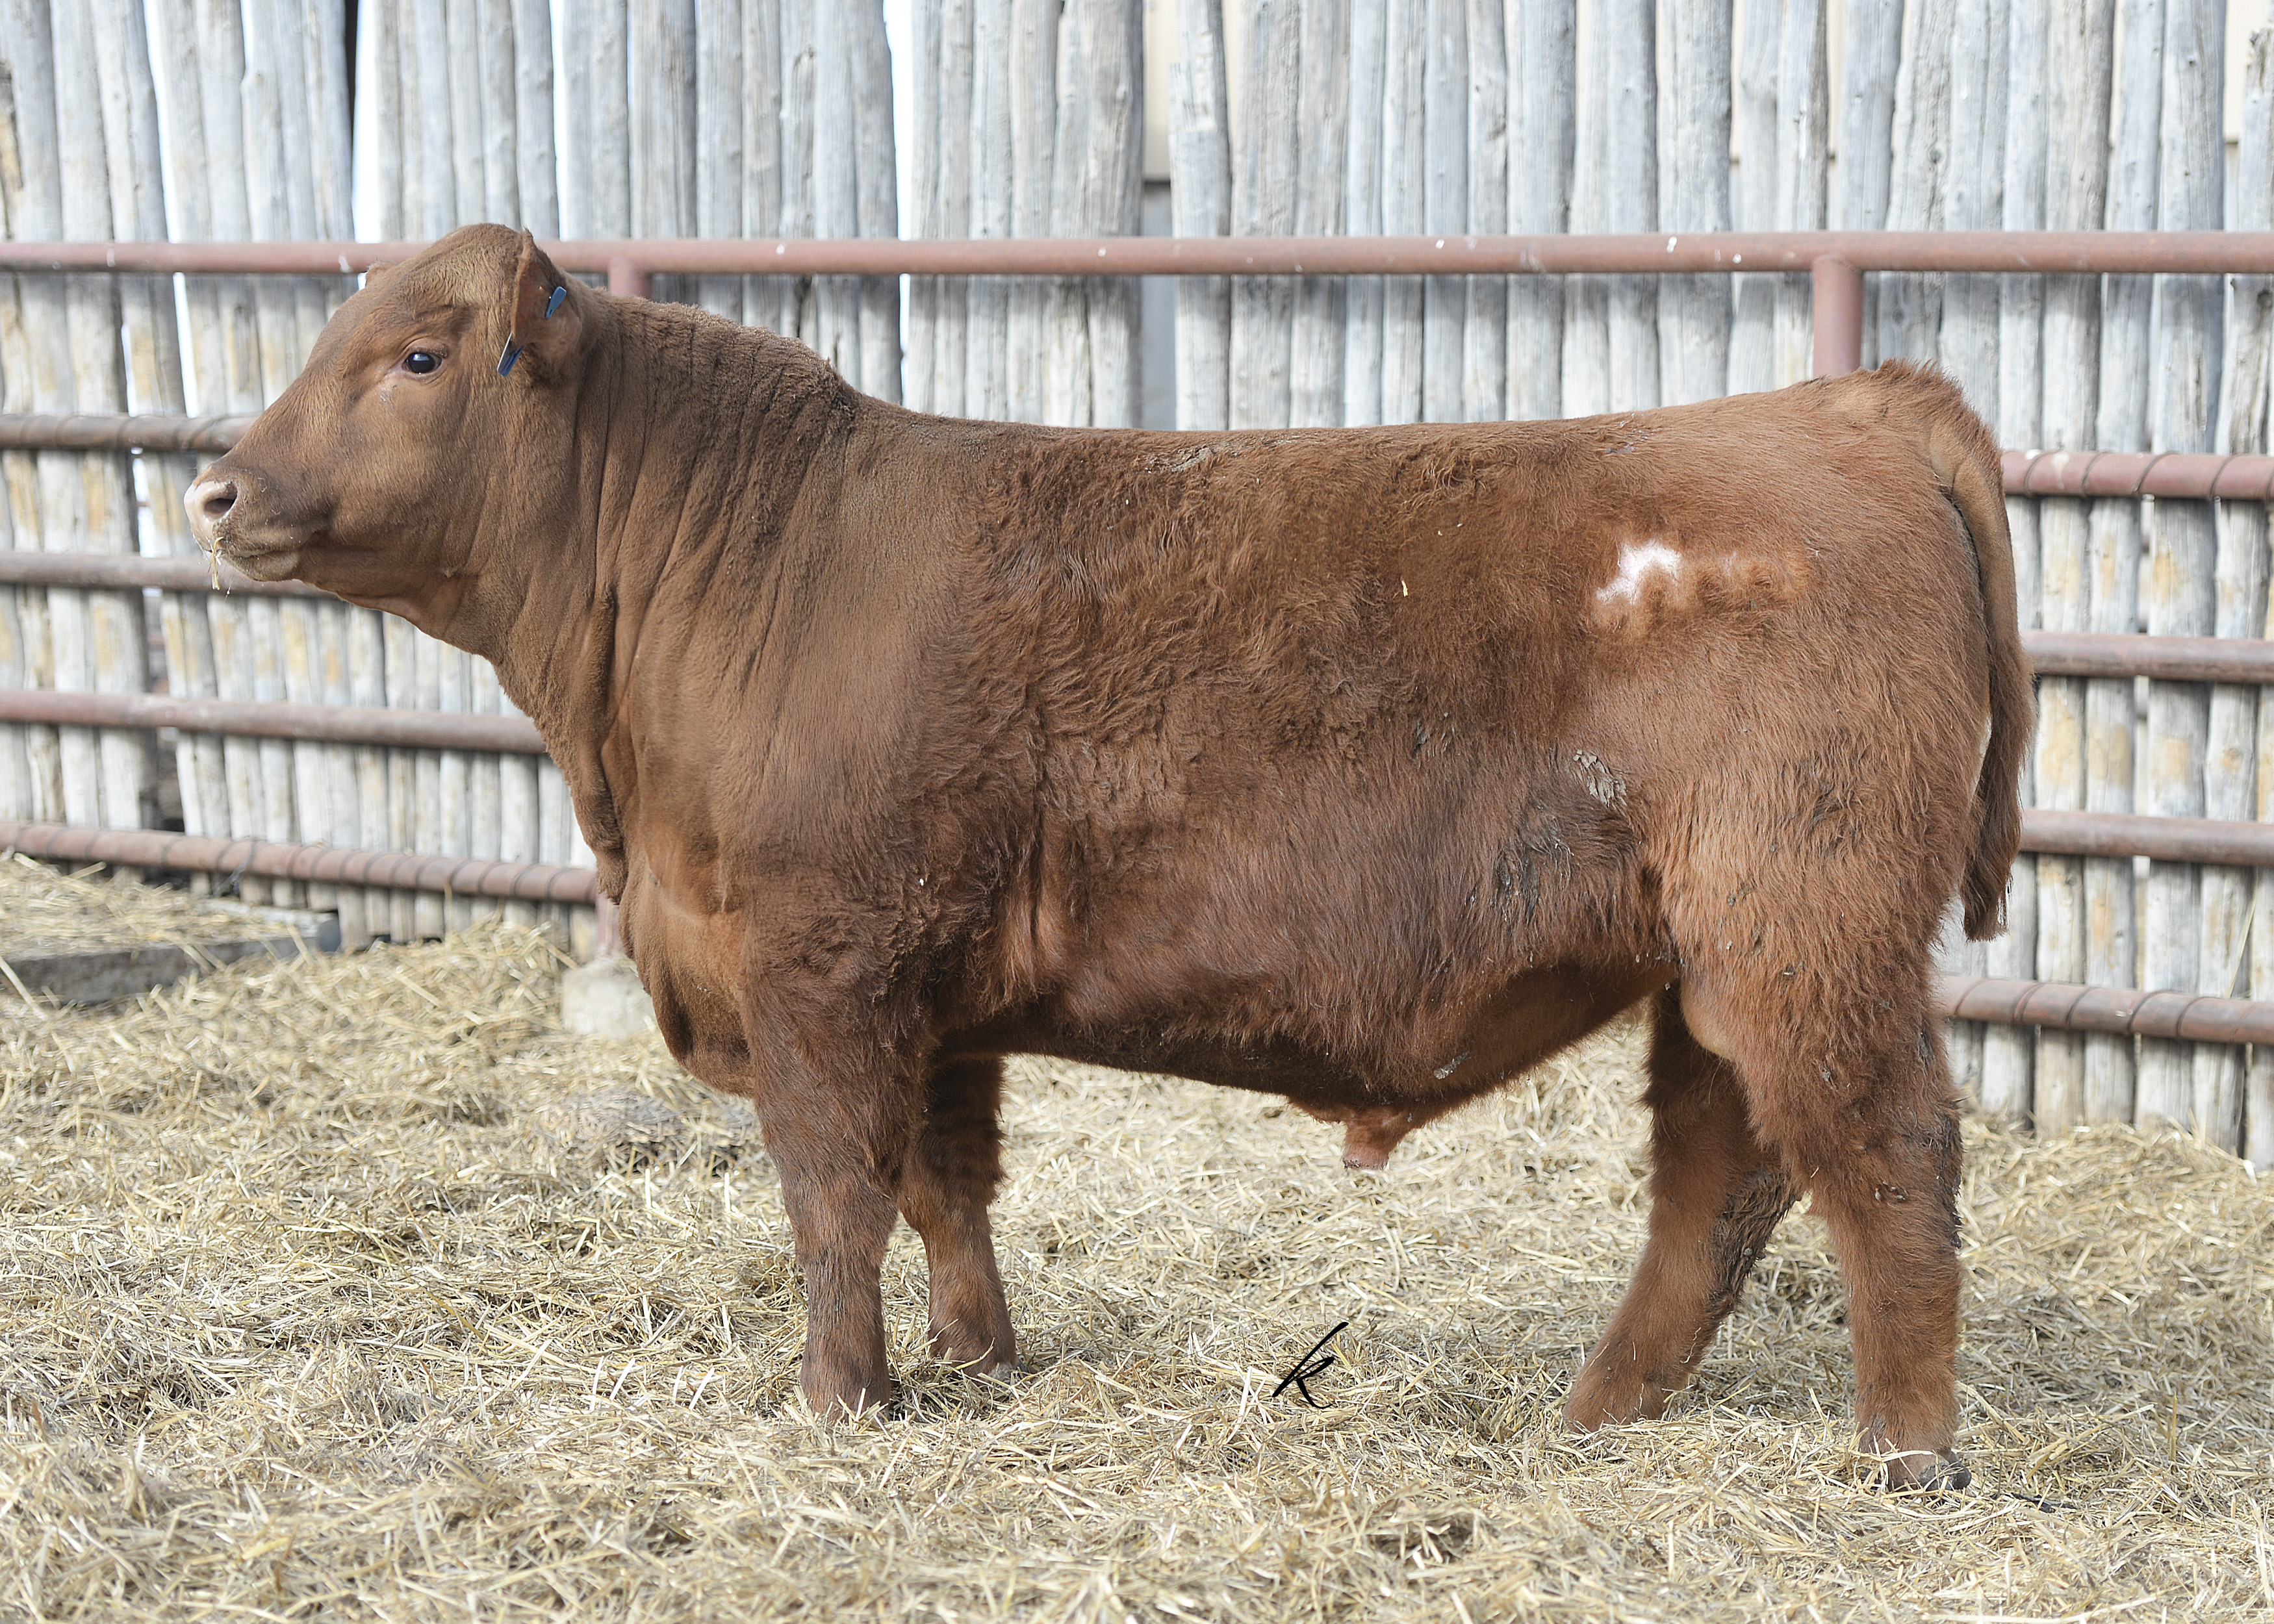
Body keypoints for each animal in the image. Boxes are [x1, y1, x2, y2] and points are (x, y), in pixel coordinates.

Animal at [186, 225, 2029, 1490]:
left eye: (421, 355)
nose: (213, 489)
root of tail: (1847, 405)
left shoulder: (823, 964)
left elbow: (833, 1192)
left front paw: (841, 1396)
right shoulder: (924, 988)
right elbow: (944, 1182)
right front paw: (977, 1358)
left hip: (1806, 930)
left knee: (1886, 1158)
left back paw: (1904, 1451)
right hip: (1713, 959)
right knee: (1721, 1176)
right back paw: (1595, 1410)